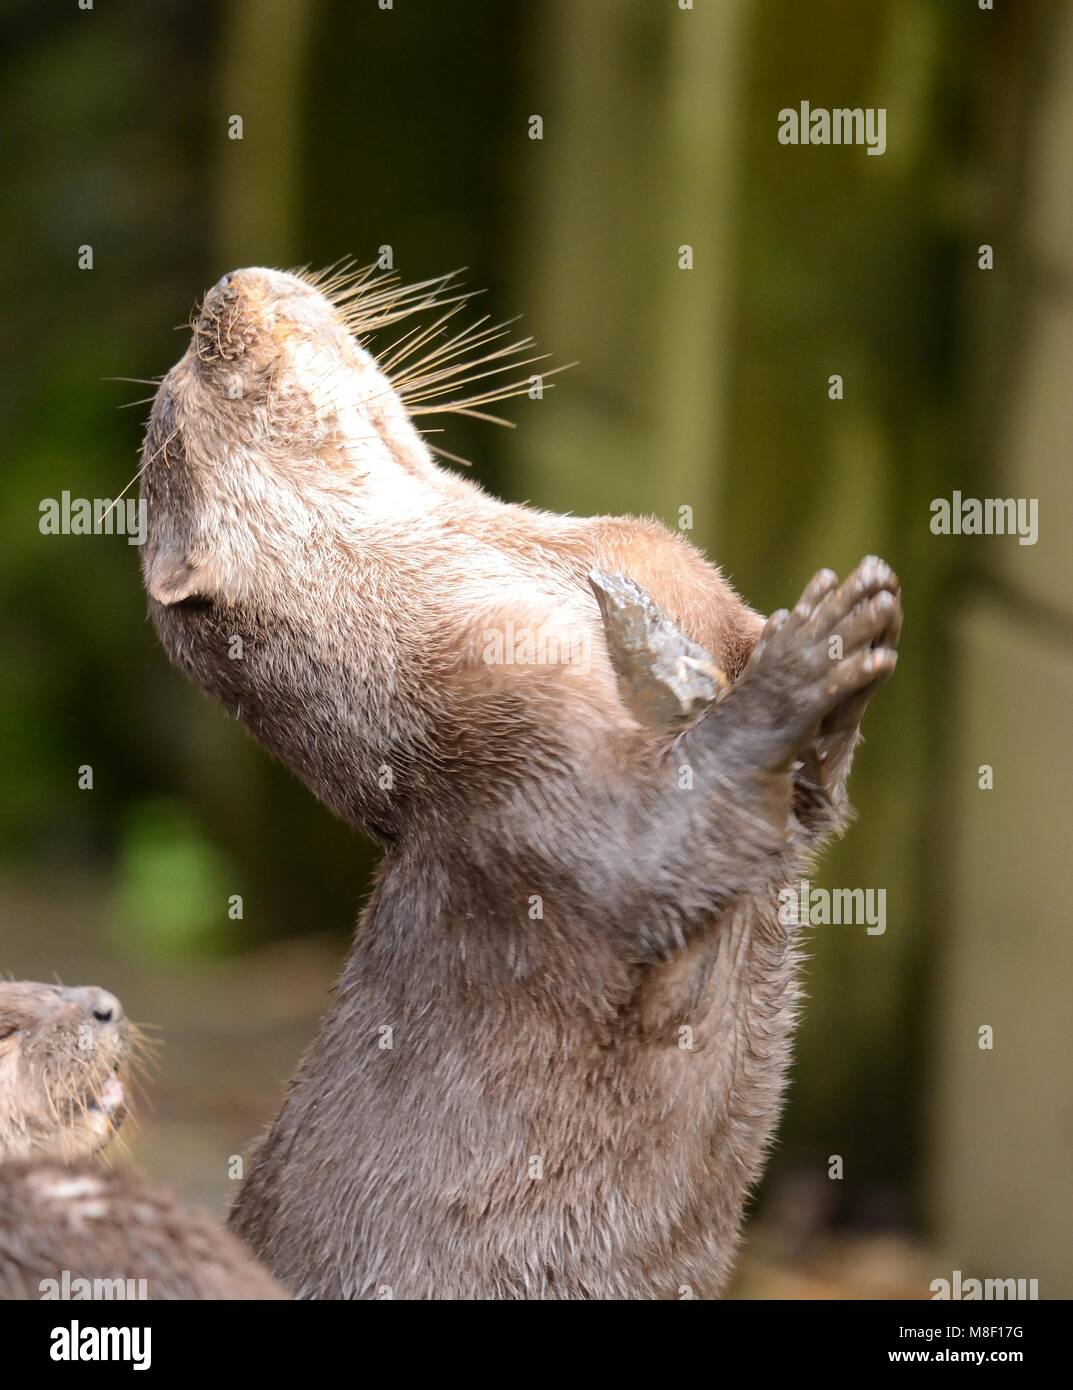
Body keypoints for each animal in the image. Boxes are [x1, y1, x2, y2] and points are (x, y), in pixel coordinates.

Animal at [138, 264, 901, 1299]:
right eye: (197, 392)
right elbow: (655, 847)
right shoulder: (514, 774)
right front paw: (809, 651)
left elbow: (812, 796)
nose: (220, 292)